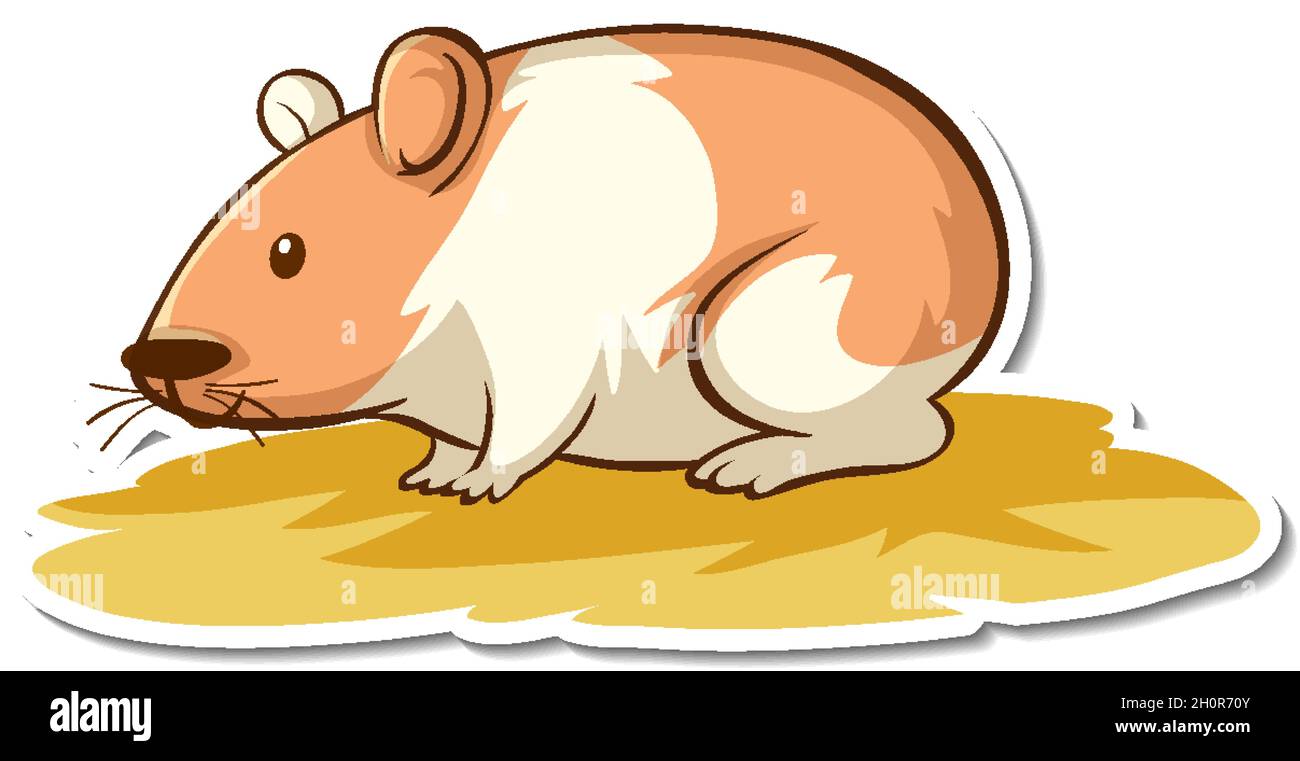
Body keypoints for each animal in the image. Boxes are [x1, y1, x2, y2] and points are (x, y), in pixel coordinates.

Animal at [122, 25, 1009, 502]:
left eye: (288, 253)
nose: (150, 361)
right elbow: (450, 444)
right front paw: (429, 477)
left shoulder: (544, 350)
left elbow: (521, 432)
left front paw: (471, 488)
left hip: (761, 332)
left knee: (918, 431)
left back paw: (742, 469)